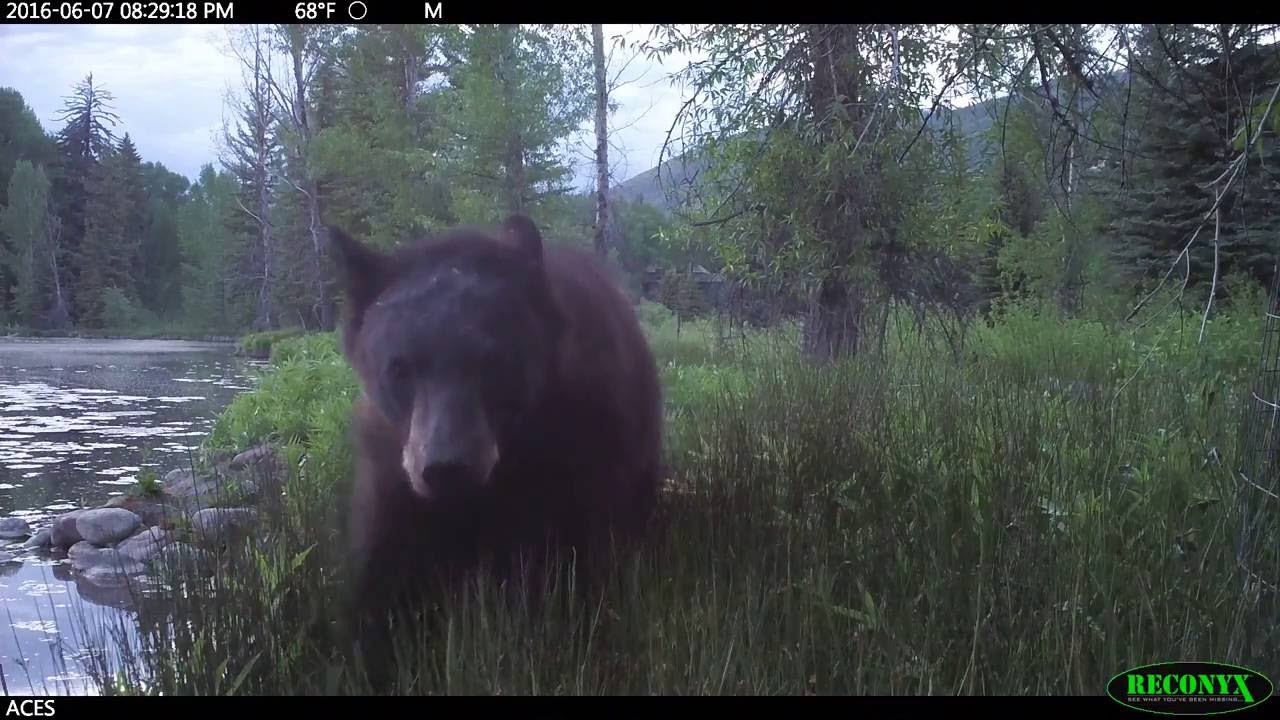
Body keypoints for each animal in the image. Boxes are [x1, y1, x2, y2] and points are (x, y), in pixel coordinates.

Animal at [328, 213, 664, 678]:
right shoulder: (392, 473)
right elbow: (381, 577)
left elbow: (583, 566)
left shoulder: (582, 454)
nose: (447, 466)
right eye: (399, 367)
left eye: (491, 361)